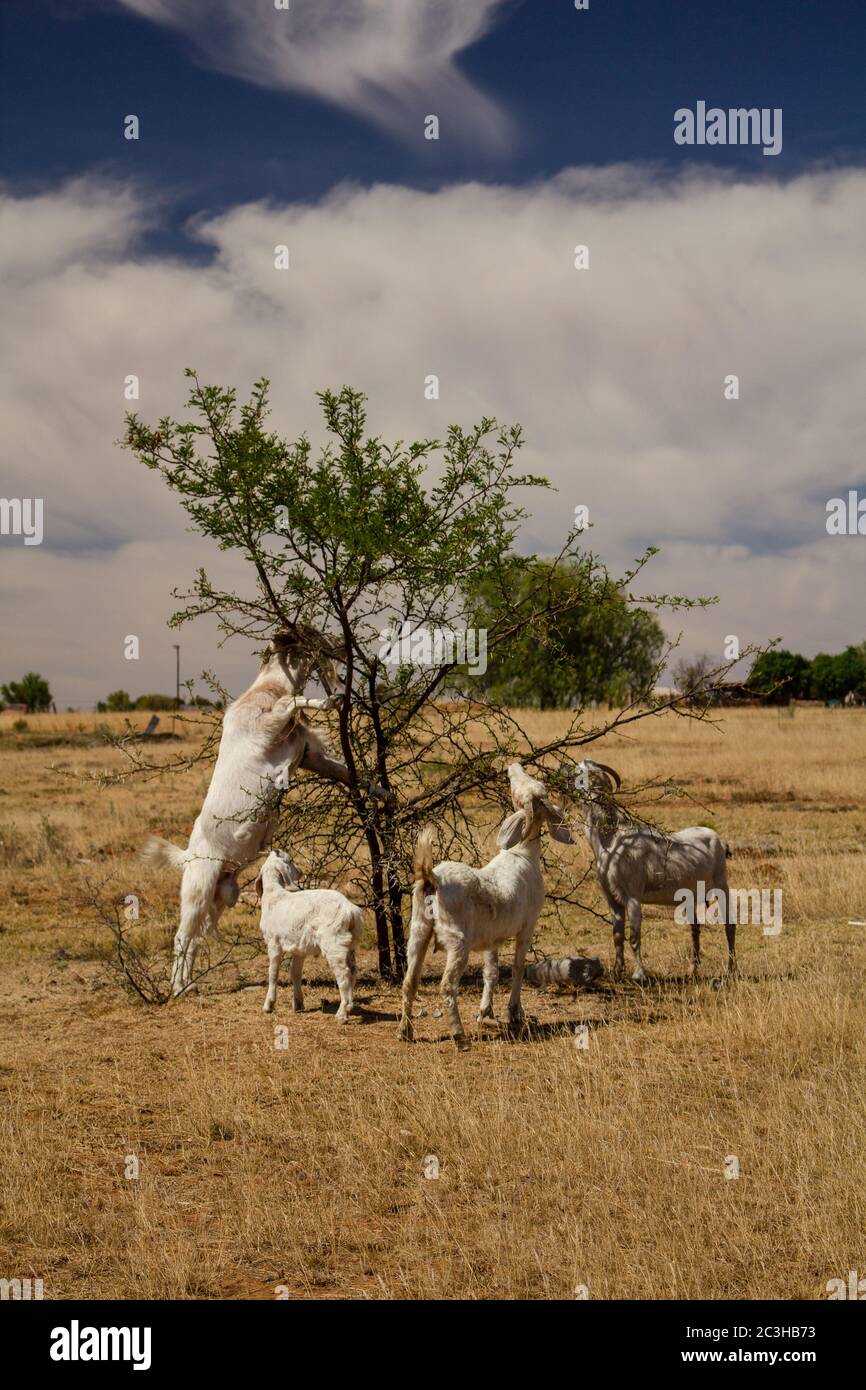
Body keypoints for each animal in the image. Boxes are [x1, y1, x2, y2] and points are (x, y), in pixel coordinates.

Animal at [142, 626, 353, 997]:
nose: (342, 647)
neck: (266, 690)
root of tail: (187, 855)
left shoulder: (309, 755)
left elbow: (347, 773)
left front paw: (386, 794)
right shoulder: (270, 725)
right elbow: (294, 701)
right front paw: (328, 700)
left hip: (220, 897)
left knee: (196, 938)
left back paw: (189, 984)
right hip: (198, 889)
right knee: (182, 936)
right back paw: (177, 988)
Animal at [255, 850, 363, 1021]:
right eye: (290, 860)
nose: (300, 872)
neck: (274, 896)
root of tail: (351, 910)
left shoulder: (273, 943)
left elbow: (273, 973)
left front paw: (268, 1006)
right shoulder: (299, 947)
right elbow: (295, 973)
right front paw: (298, 1004)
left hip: (334, 942)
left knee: (344, 974)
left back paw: (341, 1014)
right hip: (350, 943)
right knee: (353, 971)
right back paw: (350, 1007)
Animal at [399, 763, 573, 1051]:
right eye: (526, 789)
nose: (514, 766)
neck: (522, 852)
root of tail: (432, 879)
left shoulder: (492, 937)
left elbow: (490, 972)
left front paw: (486, 1013)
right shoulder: (528, 926)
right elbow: (517, 968)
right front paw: (514, 1014)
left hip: (418, 930)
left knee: (409, 981)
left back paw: (405, 1032)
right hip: (457, 940)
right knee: (447, 985)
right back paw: (460, 1037)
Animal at [573, 759, 734, 983]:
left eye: (580, 771)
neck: (612, 839)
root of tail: (721, 841)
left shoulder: (632, 897)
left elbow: (634, 937)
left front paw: (639, 974)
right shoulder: (612, 898)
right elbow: (617, 936)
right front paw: (617, 971)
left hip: (721, 885)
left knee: (729, 925)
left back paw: (730, 970)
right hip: (692, 895)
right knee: (695, 929)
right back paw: (693, 970)